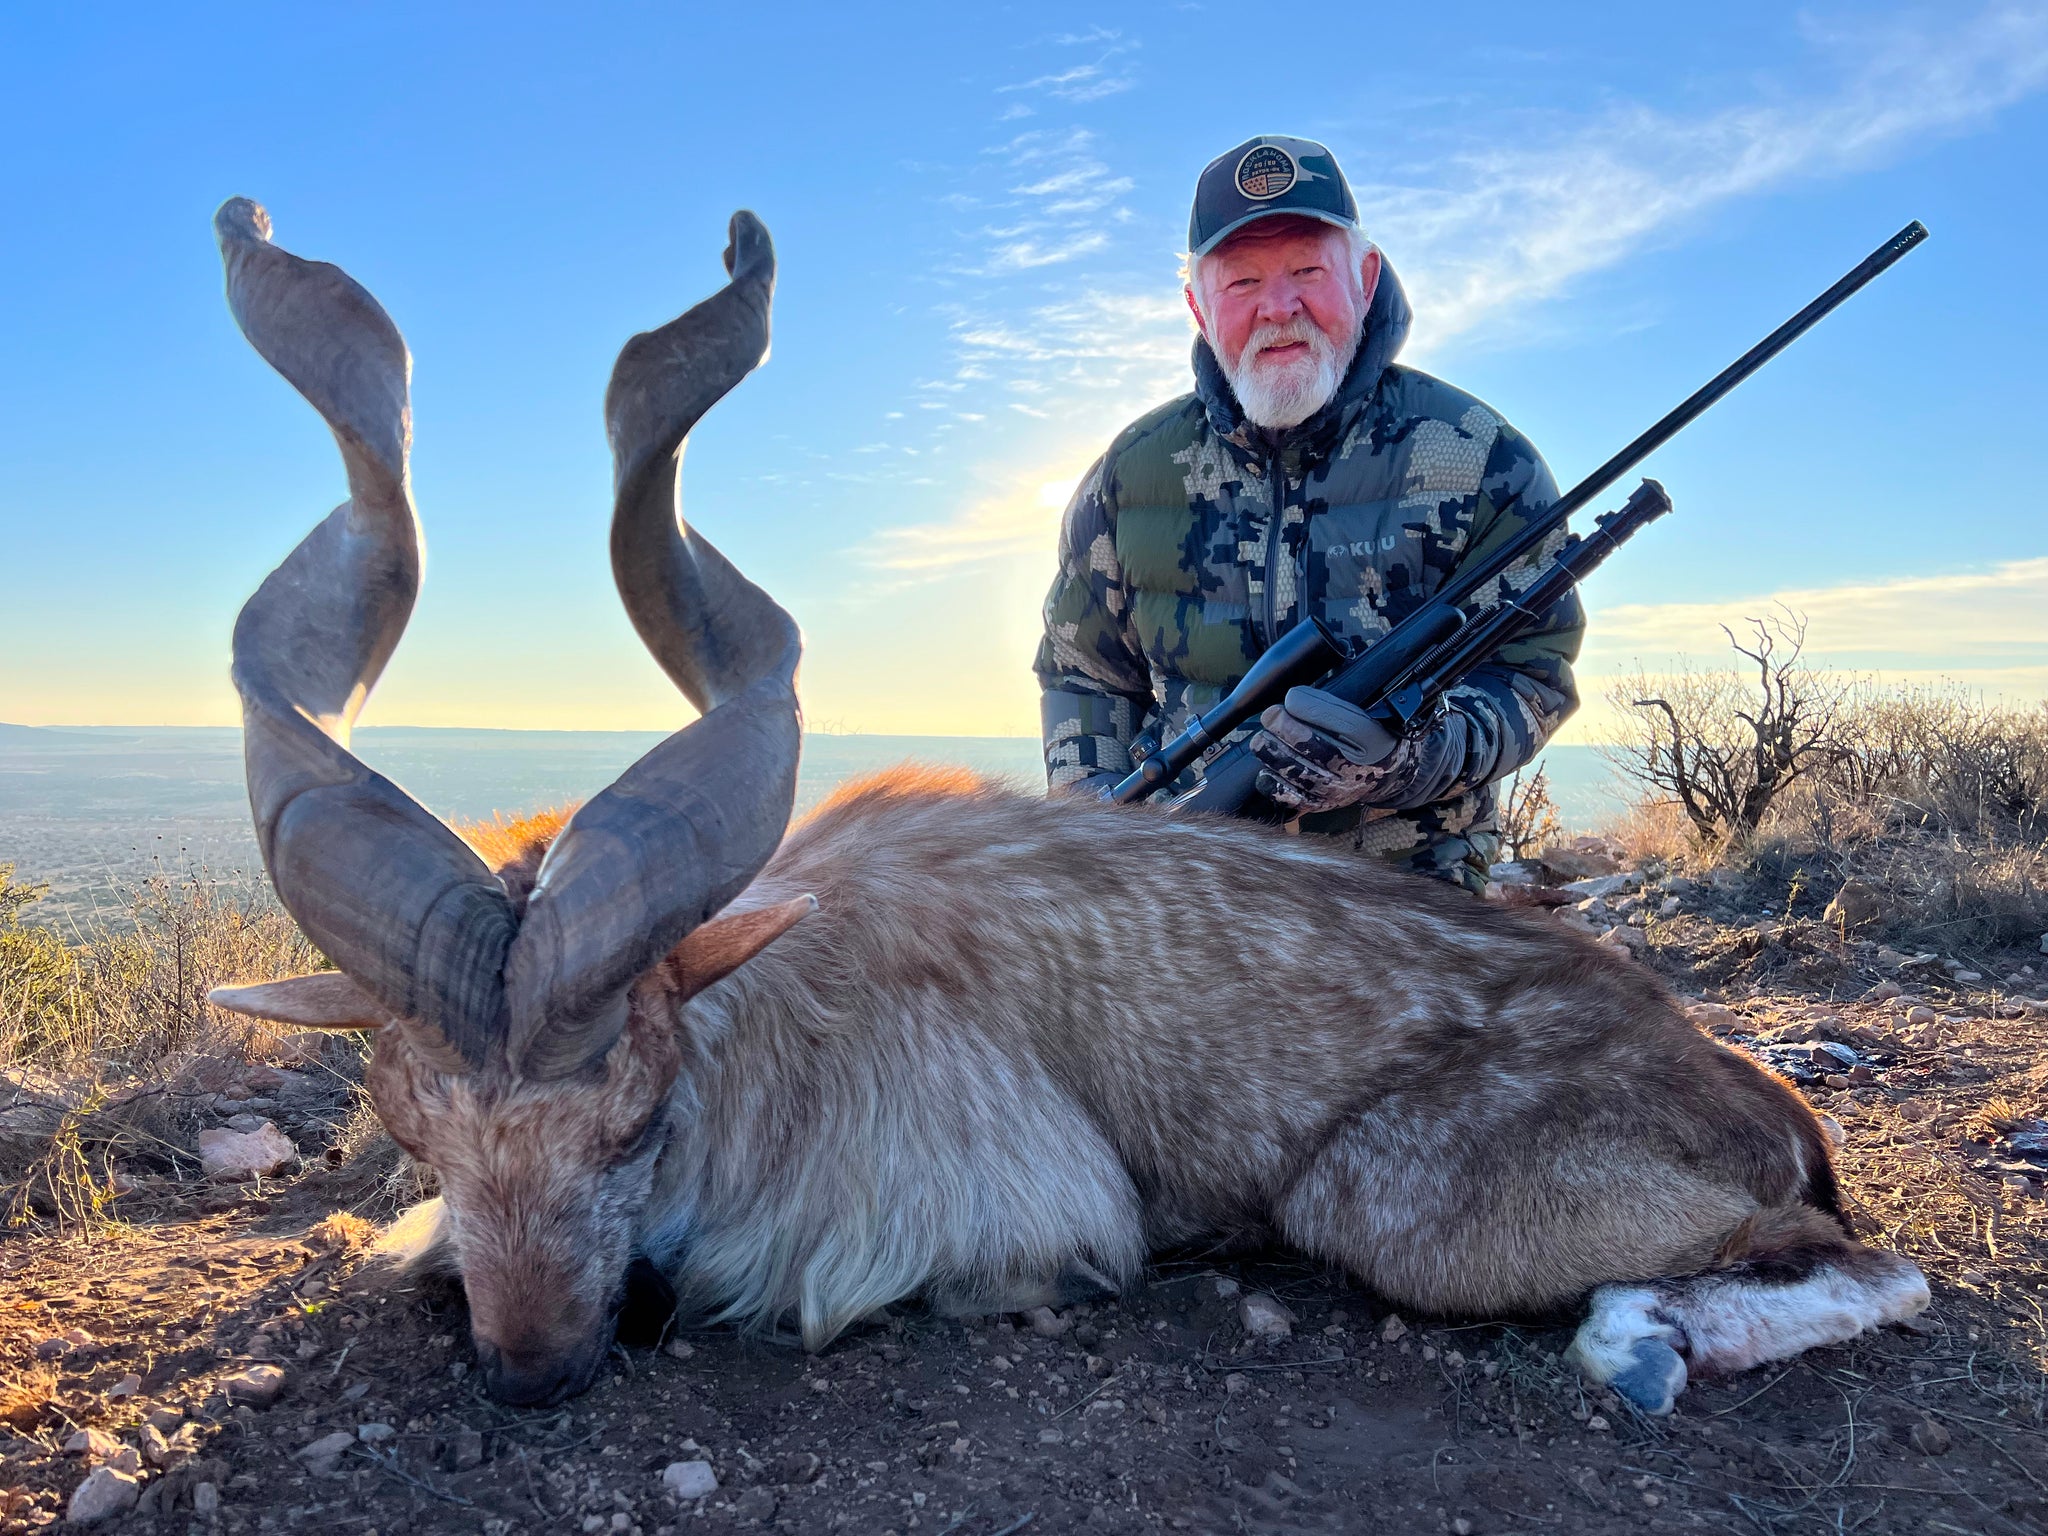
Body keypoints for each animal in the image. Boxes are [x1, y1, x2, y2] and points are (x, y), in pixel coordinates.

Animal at [207, 200, 1929, 1413]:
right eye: (409, 1123)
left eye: (636, 1118)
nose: (533, 1372)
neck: (779, 1013)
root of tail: (1756, 1098)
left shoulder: (999, 1221)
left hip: (1391, 1211)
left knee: (1880, 1272)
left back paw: (1642, 1344)